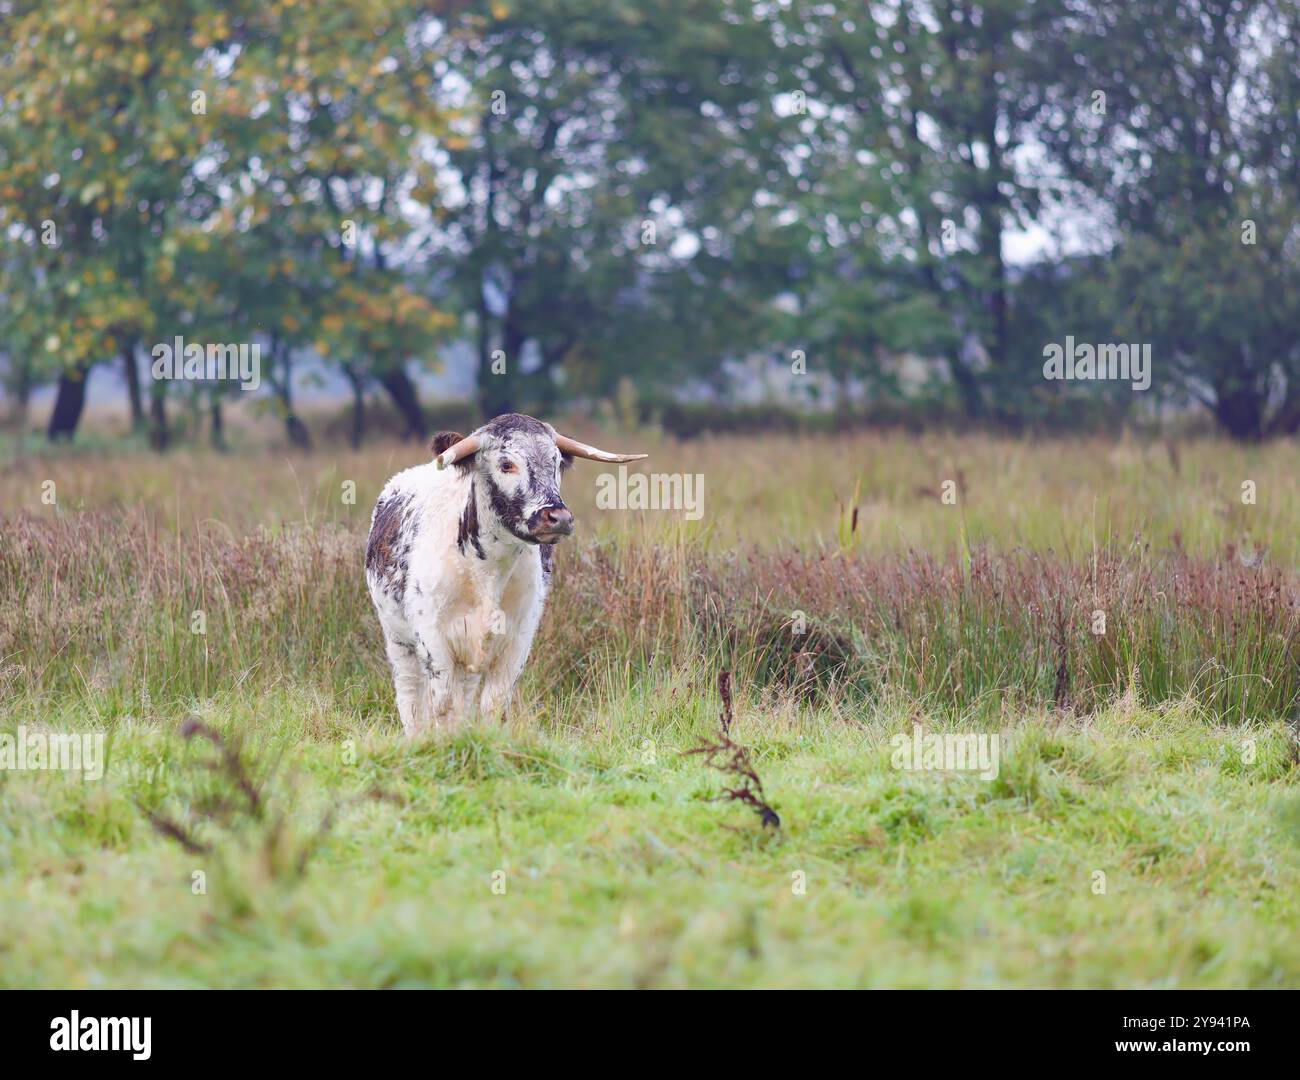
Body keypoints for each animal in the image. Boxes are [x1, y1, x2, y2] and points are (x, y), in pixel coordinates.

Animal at [365, 412, 647, 735]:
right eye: (506, 464)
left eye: (555, 462)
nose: (558, 517)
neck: (486, 573)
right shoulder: (433, 639)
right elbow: (444, 704)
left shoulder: (517, 640)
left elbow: (493, 705)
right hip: (398, 639)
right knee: (411, 696)